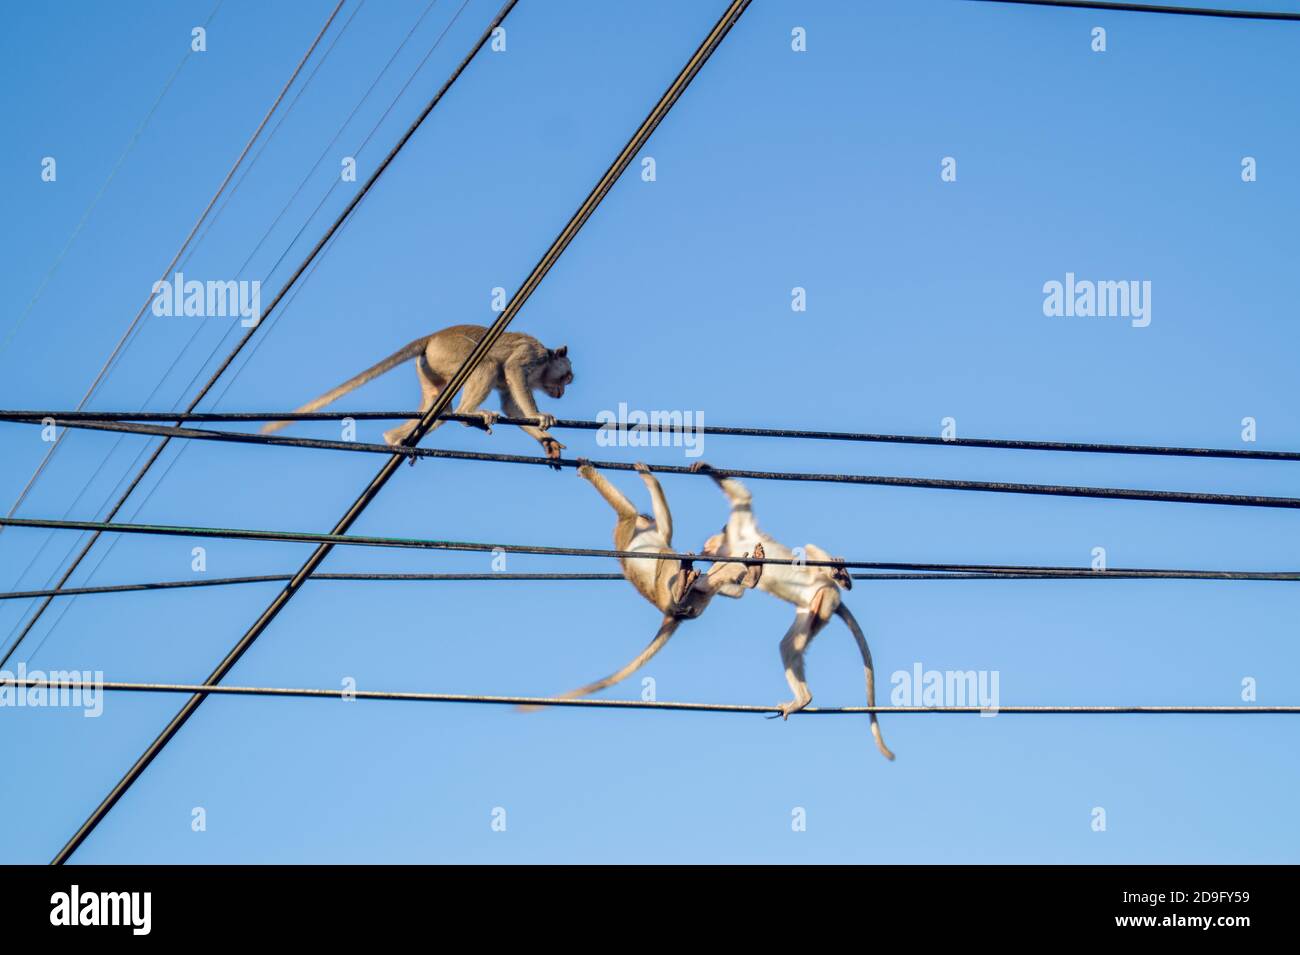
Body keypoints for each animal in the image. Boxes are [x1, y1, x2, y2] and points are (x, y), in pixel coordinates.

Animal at [261, 324, 574, 461]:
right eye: (567, 377)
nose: (562, 391)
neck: (546, 358)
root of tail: (433, 337)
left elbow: (510, 405)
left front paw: (547, 442)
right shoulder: (531, 354)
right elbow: (512, 370)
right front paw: (540, 417)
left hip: (431, 367)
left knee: (439, 410)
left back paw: (395, 438)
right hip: (452, 352)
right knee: (484, 364)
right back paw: (468, 413)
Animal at [540, 460, 765, 703]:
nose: (648, 519)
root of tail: (670, 612)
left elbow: (664, 526)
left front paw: (647, 477)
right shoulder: (624, 532)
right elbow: (629, 514)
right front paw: (590, 472)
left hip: (695, 600)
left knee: (704, 580)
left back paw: (747, 577)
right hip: (664, 592)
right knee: (669, 558)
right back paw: (683, 585)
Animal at [691, 461, 895, 760]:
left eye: (708, 545)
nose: (703, 551)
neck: (731, 547)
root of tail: (830, 593)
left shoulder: (739, 531)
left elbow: (741, 499)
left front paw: (704, 467)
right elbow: (737, 591)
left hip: (824, 592)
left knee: (809, 549)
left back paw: (841, 576)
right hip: (814, 608)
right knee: (789, 645)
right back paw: (803, 699)